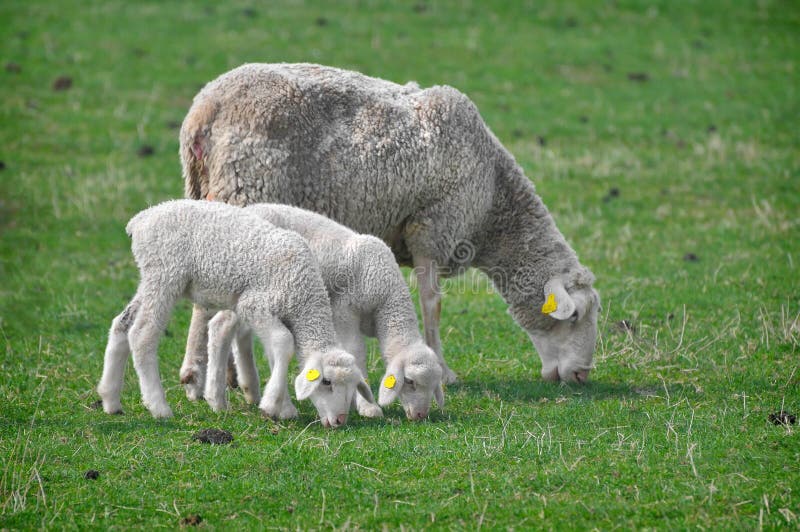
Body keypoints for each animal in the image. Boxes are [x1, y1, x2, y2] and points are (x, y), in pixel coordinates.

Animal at [96, 199, 374, 427]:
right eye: (326, 382)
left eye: (352, 387)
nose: (339, 420)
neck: (304, 299)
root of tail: (140, 220)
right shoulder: (254, 304)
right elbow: (284, 343)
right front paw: (271, 406)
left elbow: (275, 351)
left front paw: (282, 406)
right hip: (165, 274)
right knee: (142, 334)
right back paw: (159, 407)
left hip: (151, 277)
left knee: (121, 324)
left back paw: (111, 400)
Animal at [180, 62, 600, 384]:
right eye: (575, 316)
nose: (581, 375)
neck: (493, 204)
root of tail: (204, 110)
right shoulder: (433, 228)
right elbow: (432, 304)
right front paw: (443, 369)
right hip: (244, 191)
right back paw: (199, 374)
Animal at [187, 203, 445, 420]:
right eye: (410, 382)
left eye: (434, 385)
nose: (420, 415)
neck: (385, 299)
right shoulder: (344, 311)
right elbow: (356, 351)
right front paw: (367, 406)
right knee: (222, 325)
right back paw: (218, 398)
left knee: (240, 333)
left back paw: (250, 389)